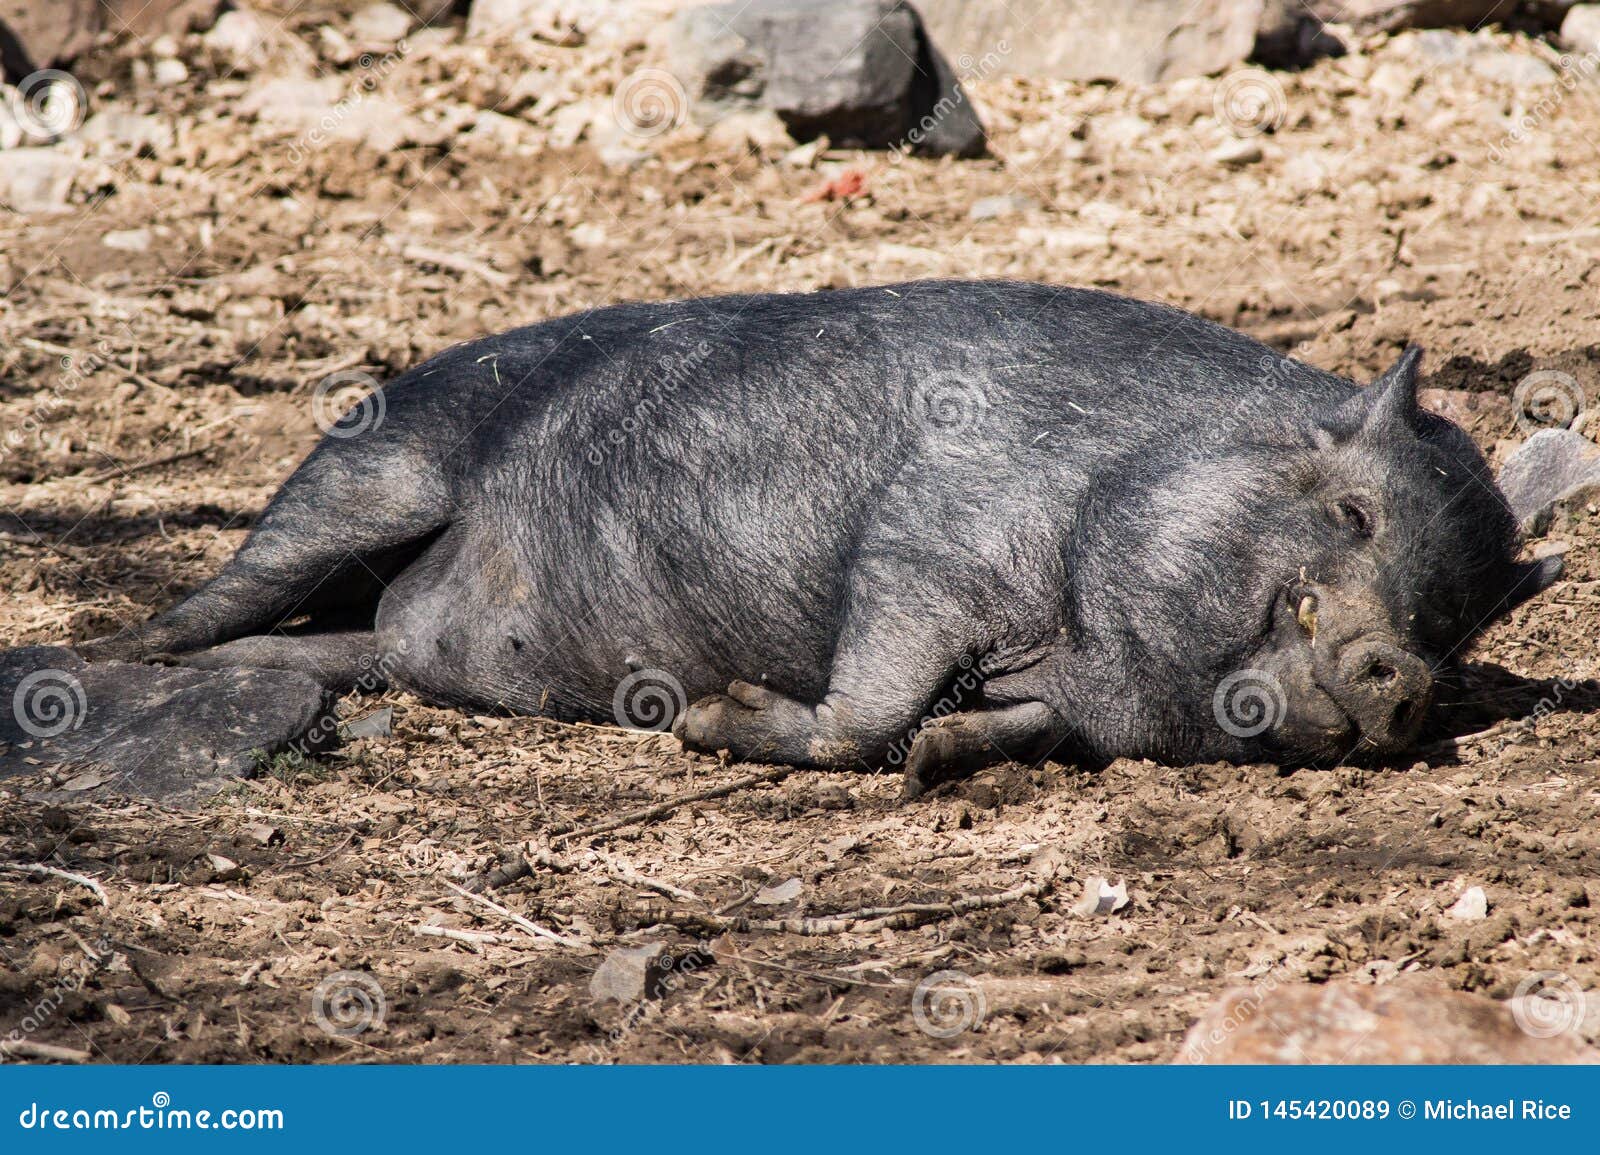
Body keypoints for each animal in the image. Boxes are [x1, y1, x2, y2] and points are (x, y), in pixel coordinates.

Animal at [78, 280, 1562, 796]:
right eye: (1352, 512)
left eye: (1458, 617)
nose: (1401, 672)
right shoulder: (922, 545)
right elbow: (865, 713)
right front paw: (712, 719)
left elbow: (972, 728)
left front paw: (952, 754)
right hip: (375, 462)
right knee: (224, 594)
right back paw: (106, 648)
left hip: (370, 609)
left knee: (325, 645)